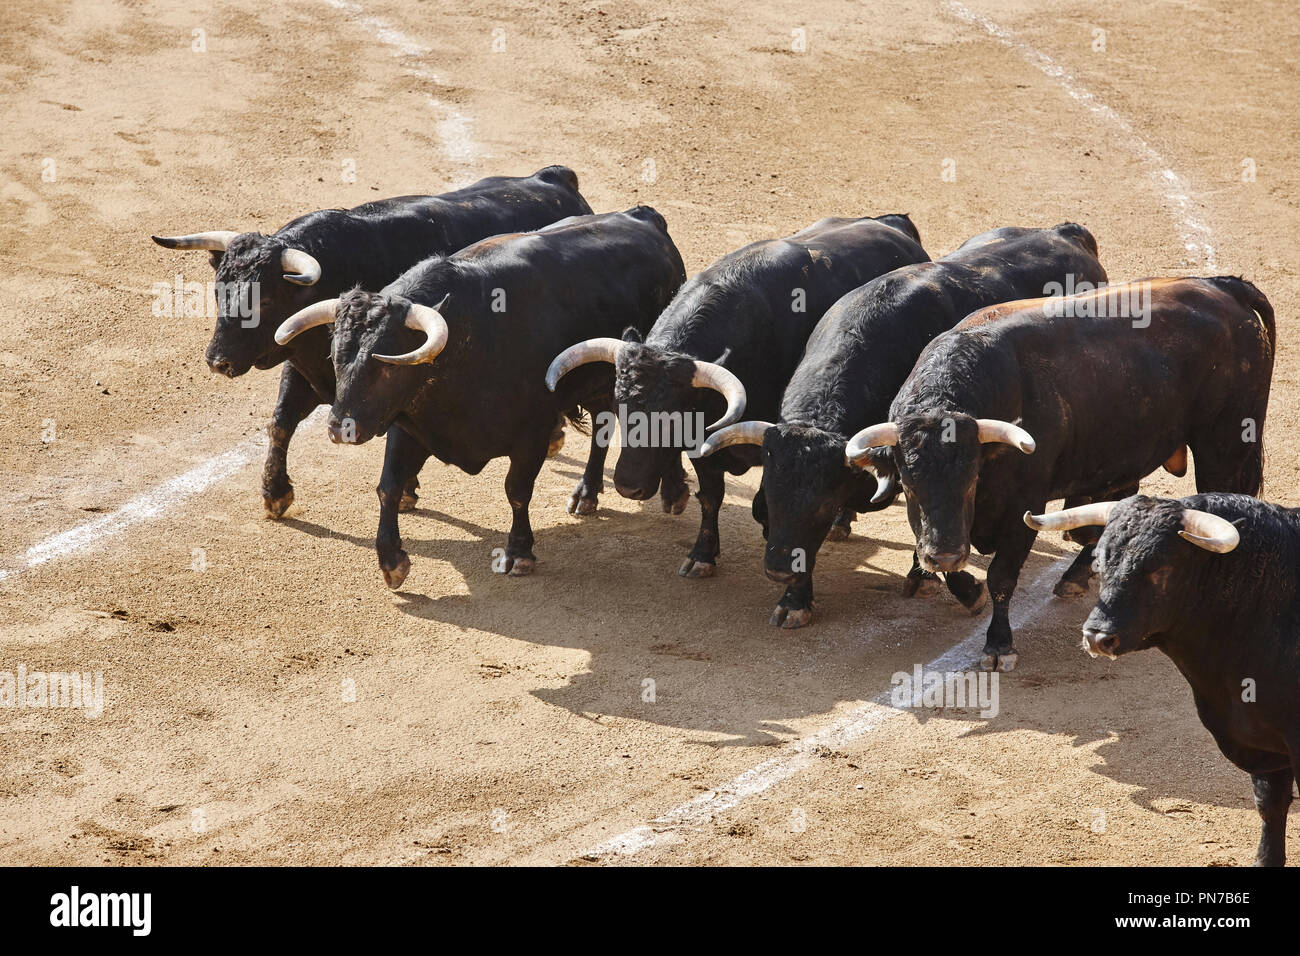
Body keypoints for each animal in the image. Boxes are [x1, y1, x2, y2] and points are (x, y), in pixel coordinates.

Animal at [152, 165, 592, 518]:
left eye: (265, 299)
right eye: (218, 290)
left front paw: (407, 490)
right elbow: (280, 423)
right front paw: (274, 494)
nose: (218, 361)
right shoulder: (302, 364)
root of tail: (554, 177)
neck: (333, 269)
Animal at [272, 206, 687, 588]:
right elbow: (388, 487)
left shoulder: (532, 435)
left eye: (388, 366)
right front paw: (392, 560)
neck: (466, 340)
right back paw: (587, 492)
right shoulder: (408, 424)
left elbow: (517, 490)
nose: (340, 427)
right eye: (336, 357)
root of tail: (644, 216)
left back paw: (670, 489)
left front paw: (519, 551)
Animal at [543, 214, 931, 579]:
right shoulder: (706, 446)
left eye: (674, 419)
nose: (628, 487)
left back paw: (840, 521)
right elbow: (711, 498)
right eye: (621, 408)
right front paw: (702, 555)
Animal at [700, 224, 1108, 628]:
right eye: (770, 492)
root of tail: (1066, 234)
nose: (779, 570)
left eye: (822, 503)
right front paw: (794, 600)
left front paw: (956, 588)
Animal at [847, 276, 1275, 671]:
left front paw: (999, 645)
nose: (946, 554)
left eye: (970, 480)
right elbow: (941, 561)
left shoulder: (1024, 507)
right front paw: (968, 591)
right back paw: (1077, 574)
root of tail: (1220, 286)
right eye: (908, 486)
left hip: (1226, 443)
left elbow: (1001, 577)